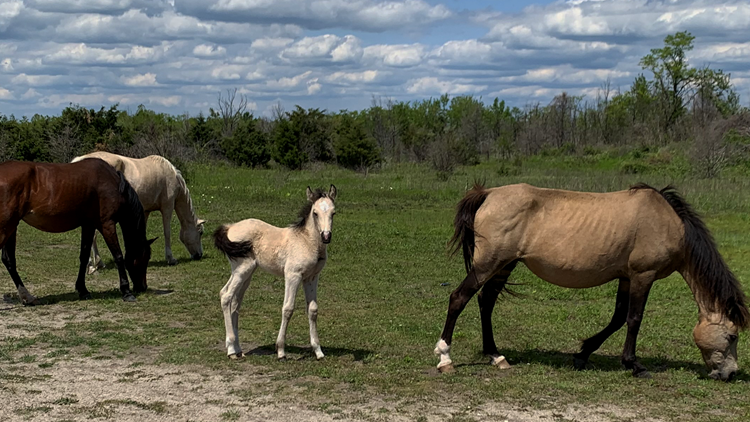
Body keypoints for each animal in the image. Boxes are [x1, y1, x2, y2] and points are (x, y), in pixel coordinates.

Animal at [0, 159, 156, 303]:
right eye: (146, 257)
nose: (143, 287)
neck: (115, 184)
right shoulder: (107, 224)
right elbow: (118, 256)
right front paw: (126, 292)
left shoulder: (88, 225)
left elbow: (84, 256)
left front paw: (83, 290)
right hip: (6, 227)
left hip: (11, 227)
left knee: (9, 261)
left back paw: (27, 297)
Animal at [72, 152, 205, 272]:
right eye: (201, 233)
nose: (199, 255)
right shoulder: (167, 207)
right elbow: (167, 232)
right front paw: (170, 258)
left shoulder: (146, 210)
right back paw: (93, 265)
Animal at [213, 185, 337, 360]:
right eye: (315, 213)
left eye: (333, 213)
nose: (326, 236)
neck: (306, 241)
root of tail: (229, 227)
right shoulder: (293, 275)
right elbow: (288, 309)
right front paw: (281, 351)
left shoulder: (312, 277)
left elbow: (313, 310)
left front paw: (318, 351)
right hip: (242, 269)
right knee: (226, 295)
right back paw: (231, 350)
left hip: (247, 273)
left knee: (235, 303)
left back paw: (238, 349)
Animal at [434, 183, 749, 381]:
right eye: (732, 336)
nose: (730, 374)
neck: (668, 223)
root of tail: (487, 194)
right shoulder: (642, 276)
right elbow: (634, 318)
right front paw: (634, 365)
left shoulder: (626, 277)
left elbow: (618, 318)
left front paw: (582, 354)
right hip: (489, 263)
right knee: (459, 298)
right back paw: (445, 358)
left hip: (504, 265)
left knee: (485, 302)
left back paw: (496, 356)